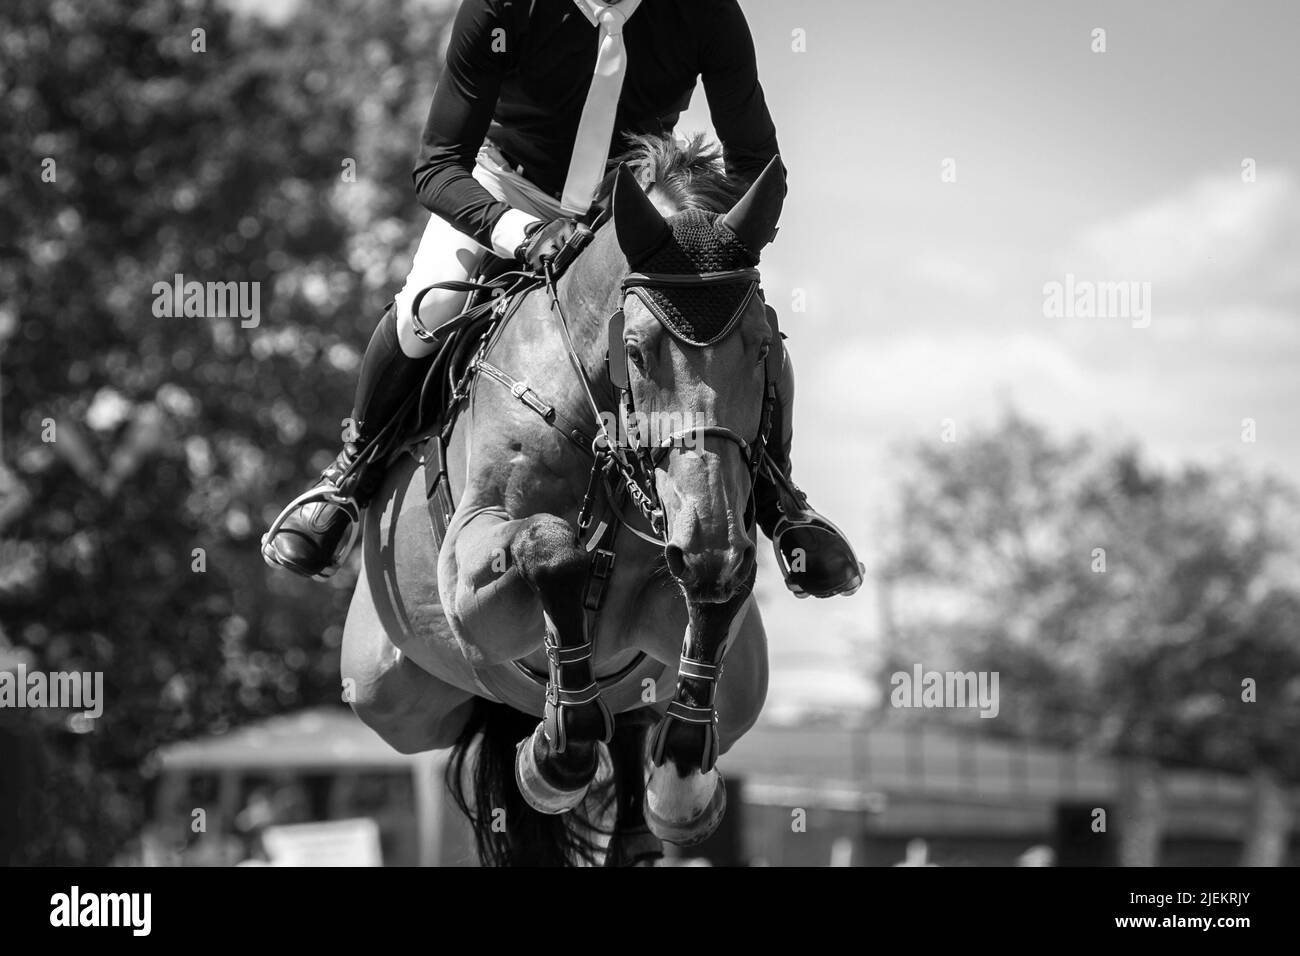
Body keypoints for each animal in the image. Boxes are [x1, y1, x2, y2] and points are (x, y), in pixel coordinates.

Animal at [340, 134, 785, 865]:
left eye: (765, 347)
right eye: (636, 349)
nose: (708, 544)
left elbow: (710, 608)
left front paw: (680, 779)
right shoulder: (468, 581)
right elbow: (553, 548)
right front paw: (555, 755)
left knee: (641, 714)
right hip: (382, 690)